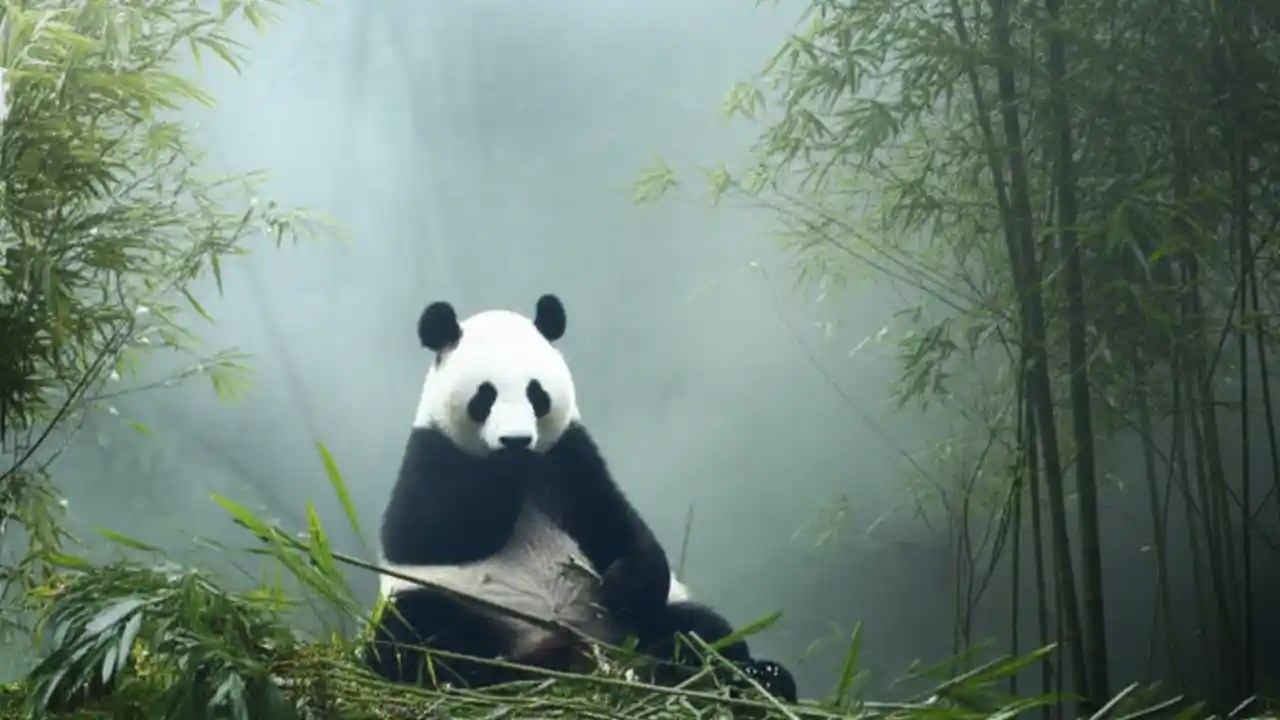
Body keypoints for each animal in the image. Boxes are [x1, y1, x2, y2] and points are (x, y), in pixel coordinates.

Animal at [366, 293, 797, 702]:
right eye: (484, 396)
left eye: (535, 393)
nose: (516, 440)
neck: (521, 470)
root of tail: (564, 650)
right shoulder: (432, 454)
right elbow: (425, 534)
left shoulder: (570, 457)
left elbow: (615, 525)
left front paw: (621, 587)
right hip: (464, 607)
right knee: (415, 638)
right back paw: (482, 675)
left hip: (632, 628)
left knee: (699, 630)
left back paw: (747, 676)